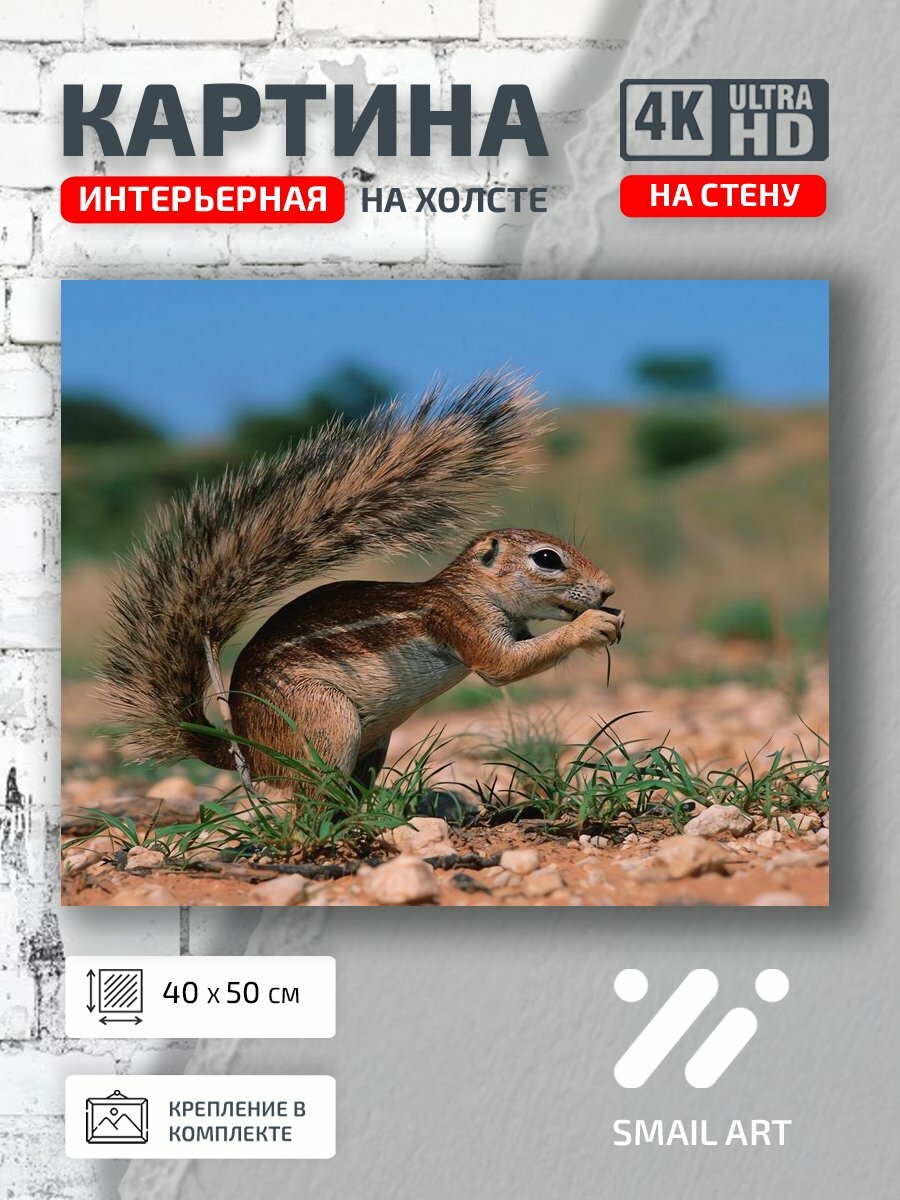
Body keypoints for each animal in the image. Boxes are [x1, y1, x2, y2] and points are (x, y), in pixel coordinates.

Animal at [100, 374, 624, 789]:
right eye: (547, 559)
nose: (608, 590)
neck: (470, 589)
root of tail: (246, 749)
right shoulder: (459, 621)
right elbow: (503, 667)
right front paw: (592, 626)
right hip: (325, 720)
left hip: (374, 743)